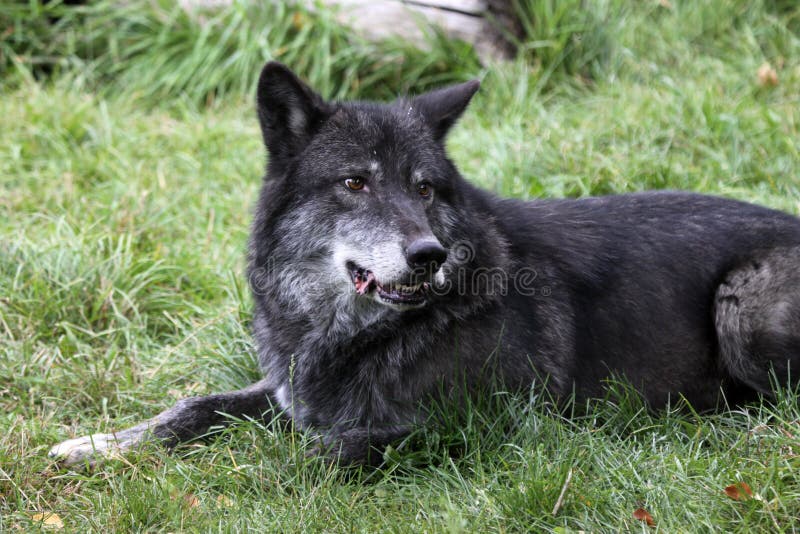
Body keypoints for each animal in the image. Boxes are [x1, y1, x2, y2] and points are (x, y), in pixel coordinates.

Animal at [50, 62, 800, 466]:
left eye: (425, 189)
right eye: (355, 182)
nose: (428, 254)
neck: (353, 335)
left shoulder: (484, 427)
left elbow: (316, 451)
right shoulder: (290, 390)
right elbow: (192, 407)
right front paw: (99, 444)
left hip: (741, 305)